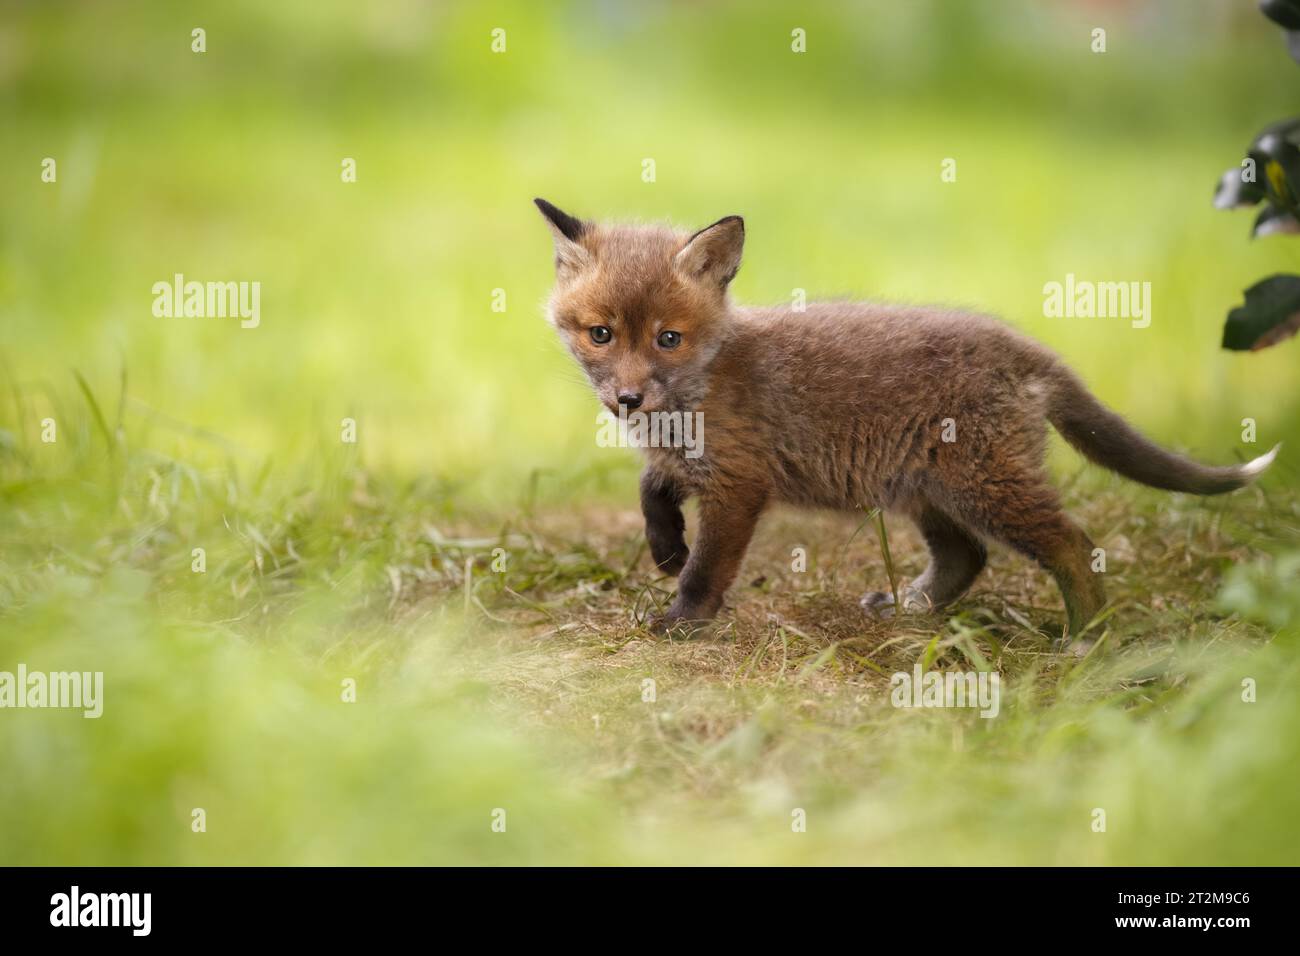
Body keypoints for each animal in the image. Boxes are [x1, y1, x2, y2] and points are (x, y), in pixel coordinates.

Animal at [534, 198, 1280, 647]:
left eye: (668, 339)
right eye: (601, 334)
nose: (628, 400)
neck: (702, 383)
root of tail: (1026, 347)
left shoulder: (740, 485)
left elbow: (706, 569)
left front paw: (683, 619)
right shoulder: (686, 464)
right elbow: (651, 492)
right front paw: (665, 547)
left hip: (986, 488)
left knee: (1072, 543)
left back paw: (1086, 640)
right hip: (928, 490)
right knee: (967, 556)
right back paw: (913, 609)